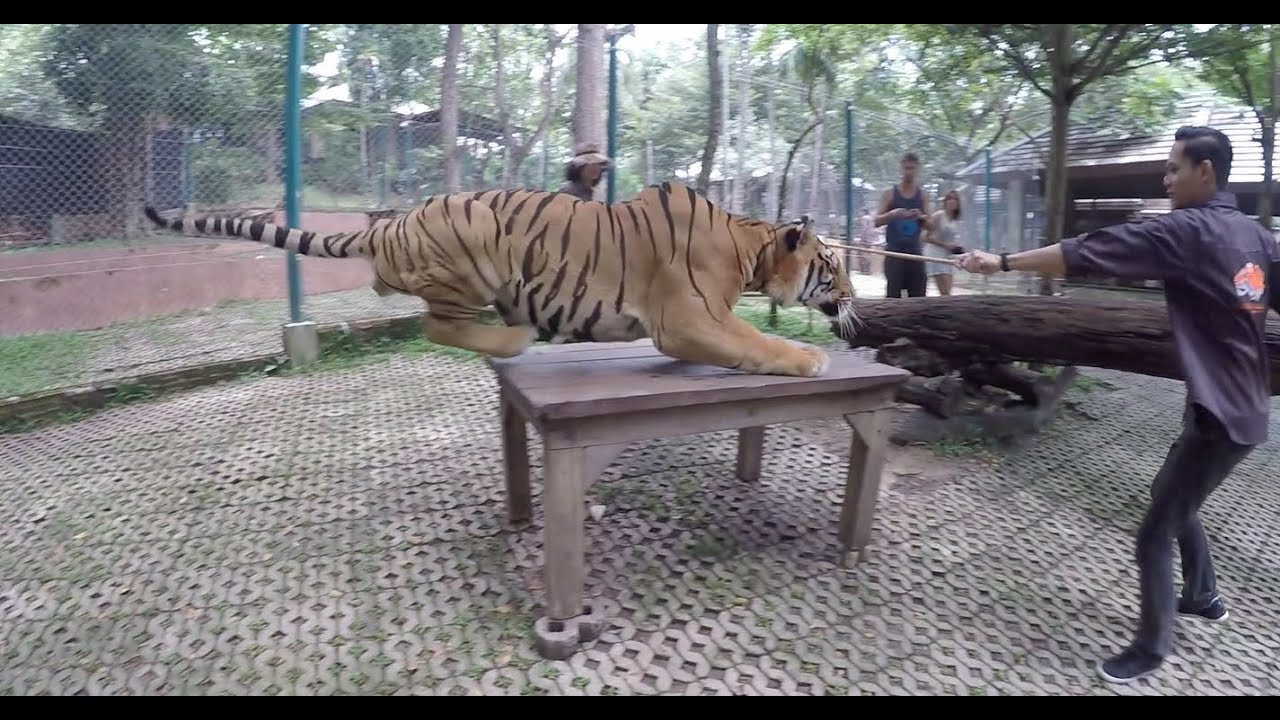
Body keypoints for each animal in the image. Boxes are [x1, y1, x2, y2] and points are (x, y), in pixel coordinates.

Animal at [143, 179, 859, 377]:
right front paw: (807, 358)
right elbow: (754, 342)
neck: (749, 245)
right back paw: (516, 339)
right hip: (476, 249)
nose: (856, 301)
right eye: (832, 268)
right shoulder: (686, 318)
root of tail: (391, 225)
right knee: (436, 324)